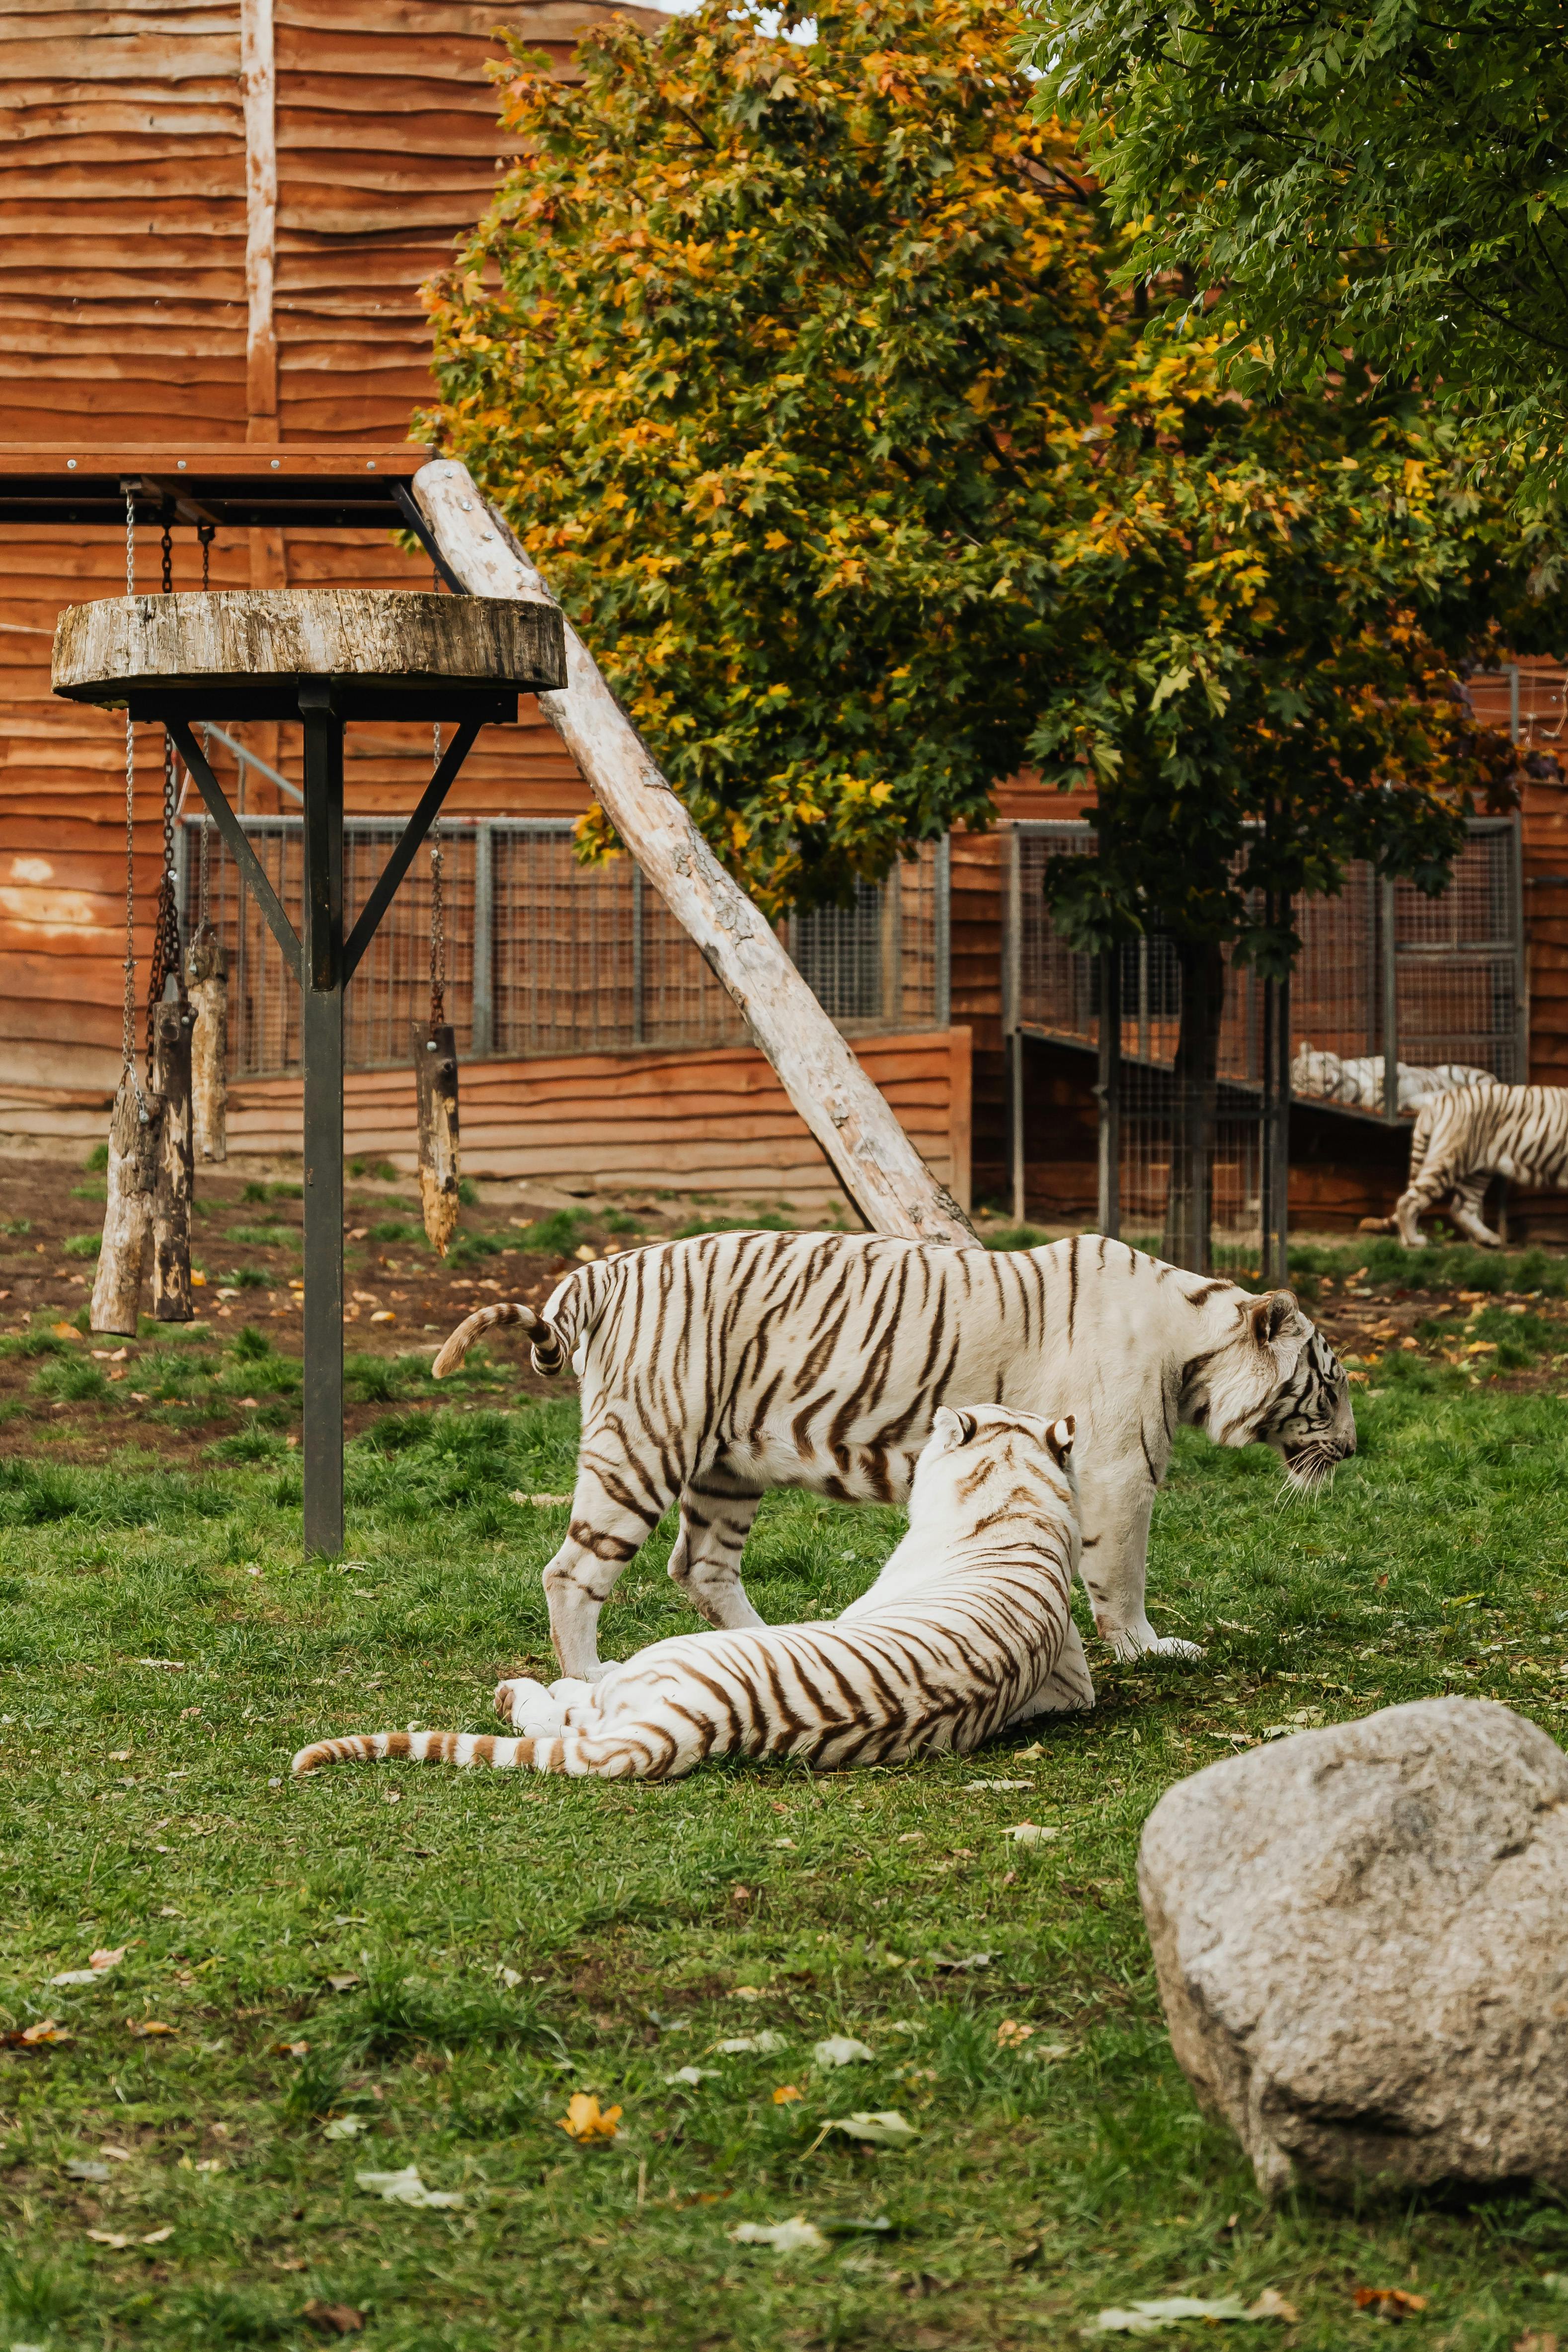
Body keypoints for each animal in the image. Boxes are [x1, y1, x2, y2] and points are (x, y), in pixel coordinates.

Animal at [292, 1404, 1093, 1783]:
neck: (1018, 1496)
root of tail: (692, 1724)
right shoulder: (1073, 1681)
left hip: (661, 1661)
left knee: (566, 1715)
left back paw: (527, 1687)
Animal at [430, 1230, 1355, 1682]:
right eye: (1334, 1382)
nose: (1351, 1449)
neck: (1195, 1343)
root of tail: (602, 1273)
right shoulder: (1120, 1473)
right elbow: (1122, 1577)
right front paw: (1150, 1651)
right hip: (645, 1444)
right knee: (571, 1570)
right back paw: (588, 1672)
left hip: (728, 1466)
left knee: (700, 1565)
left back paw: (773, 1644)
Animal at [1394, 1081, 1568, 1248]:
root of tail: (1438, 1100)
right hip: (1450, 1161)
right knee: (1407, 1201)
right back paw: (1414, 1241)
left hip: (1480, 1172)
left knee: (1461, 1208)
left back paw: (1489, 1239)